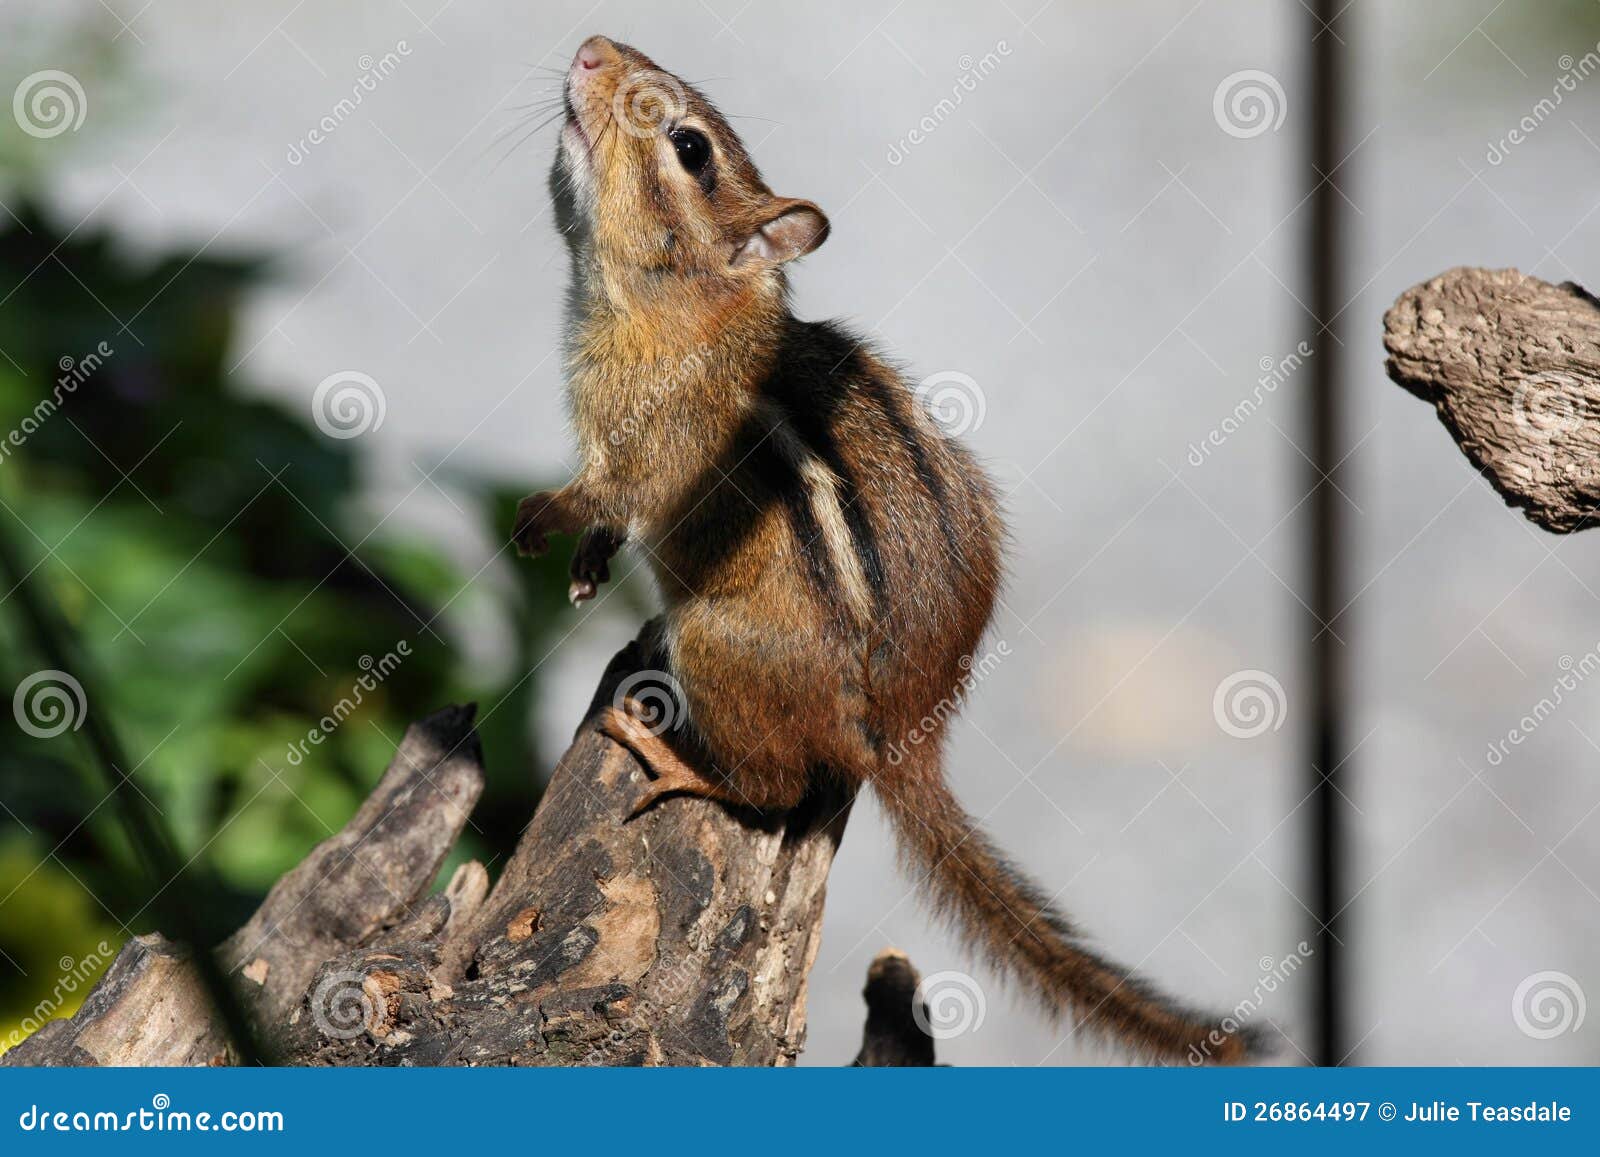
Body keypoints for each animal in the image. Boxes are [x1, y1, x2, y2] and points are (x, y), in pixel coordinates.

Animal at [512, 34, 1262, 1066]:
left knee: (772, 787)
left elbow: (610, 490)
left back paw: (672, 760)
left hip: (718, 644)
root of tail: (911, 727)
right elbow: (609, 515)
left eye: (690, 148)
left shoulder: (644, 442)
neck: (676, 304)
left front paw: (542, 520)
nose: (591, 48)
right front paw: (586, 561)